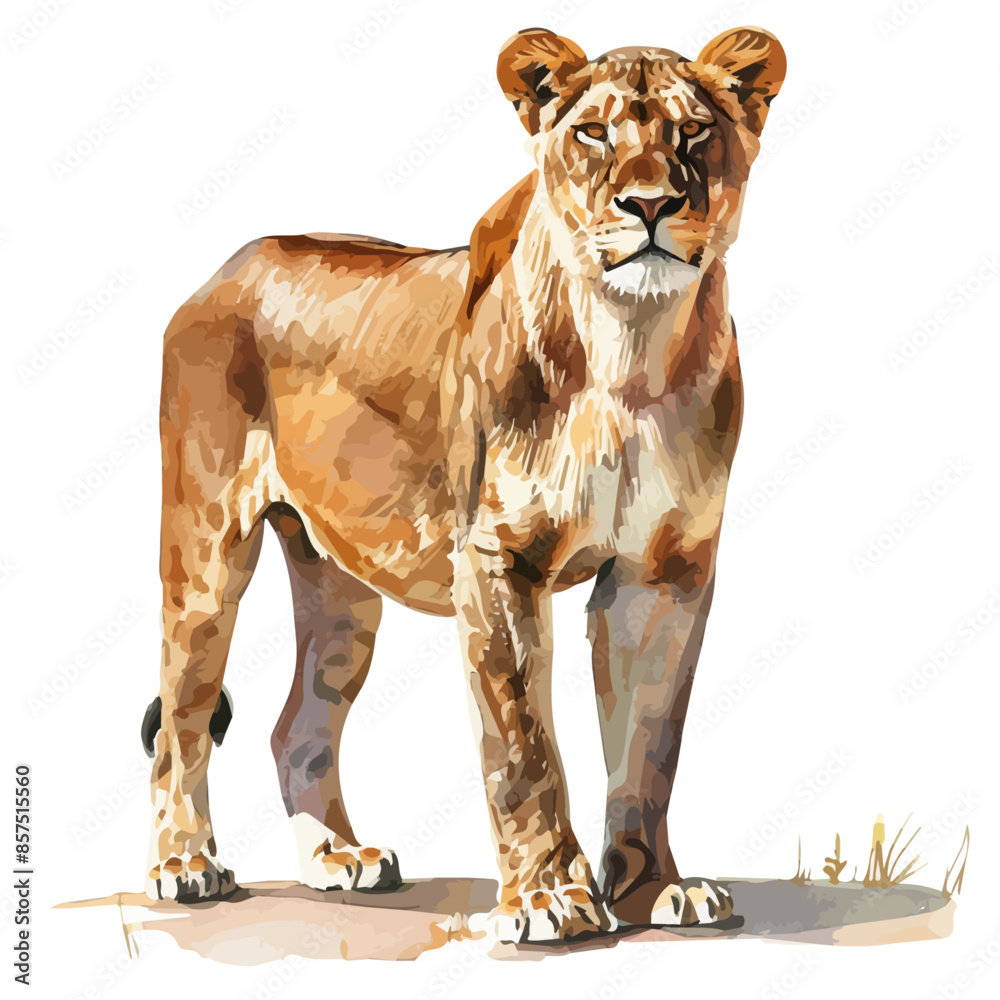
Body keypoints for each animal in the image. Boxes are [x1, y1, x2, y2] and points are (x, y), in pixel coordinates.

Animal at [142, 26, 785, 943]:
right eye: (593, 134)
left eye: (694, 133)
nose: (650, 205)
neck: (630, 347)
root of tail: (230, 264)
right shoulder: (495, 559)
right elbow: (522, 743)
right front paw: (550, 897)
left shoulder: (665, 572)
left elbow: (647, 746)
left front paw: (653, 887)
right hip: (204, 552)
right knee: (182, 717)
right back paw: (184, 865)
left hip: (341, 590)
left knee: (297, 725)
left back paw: (338, 859)